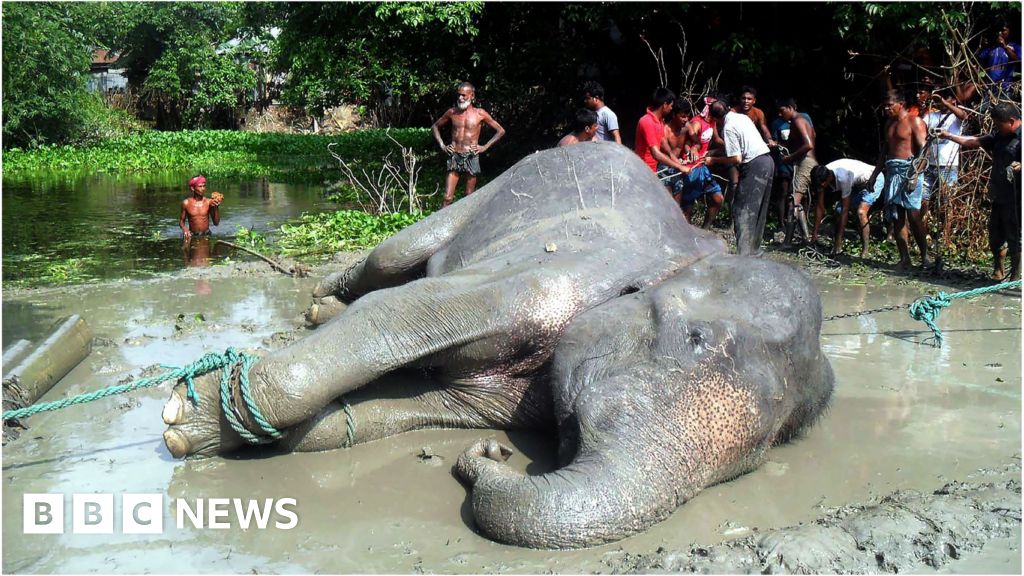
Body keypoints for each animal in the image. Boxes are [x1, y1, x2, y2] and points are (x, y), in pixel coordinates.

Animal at [161, 142, 834, 549]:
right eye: (693, 340)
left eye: (767, 446)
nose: (490, 455)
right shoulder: (544, 281)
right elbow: (403, 311)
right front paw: (180, 417)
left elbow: (400, 405)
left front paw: (213, 429)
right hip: (489, 188)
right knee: (390, 260)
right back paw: (318, 303)